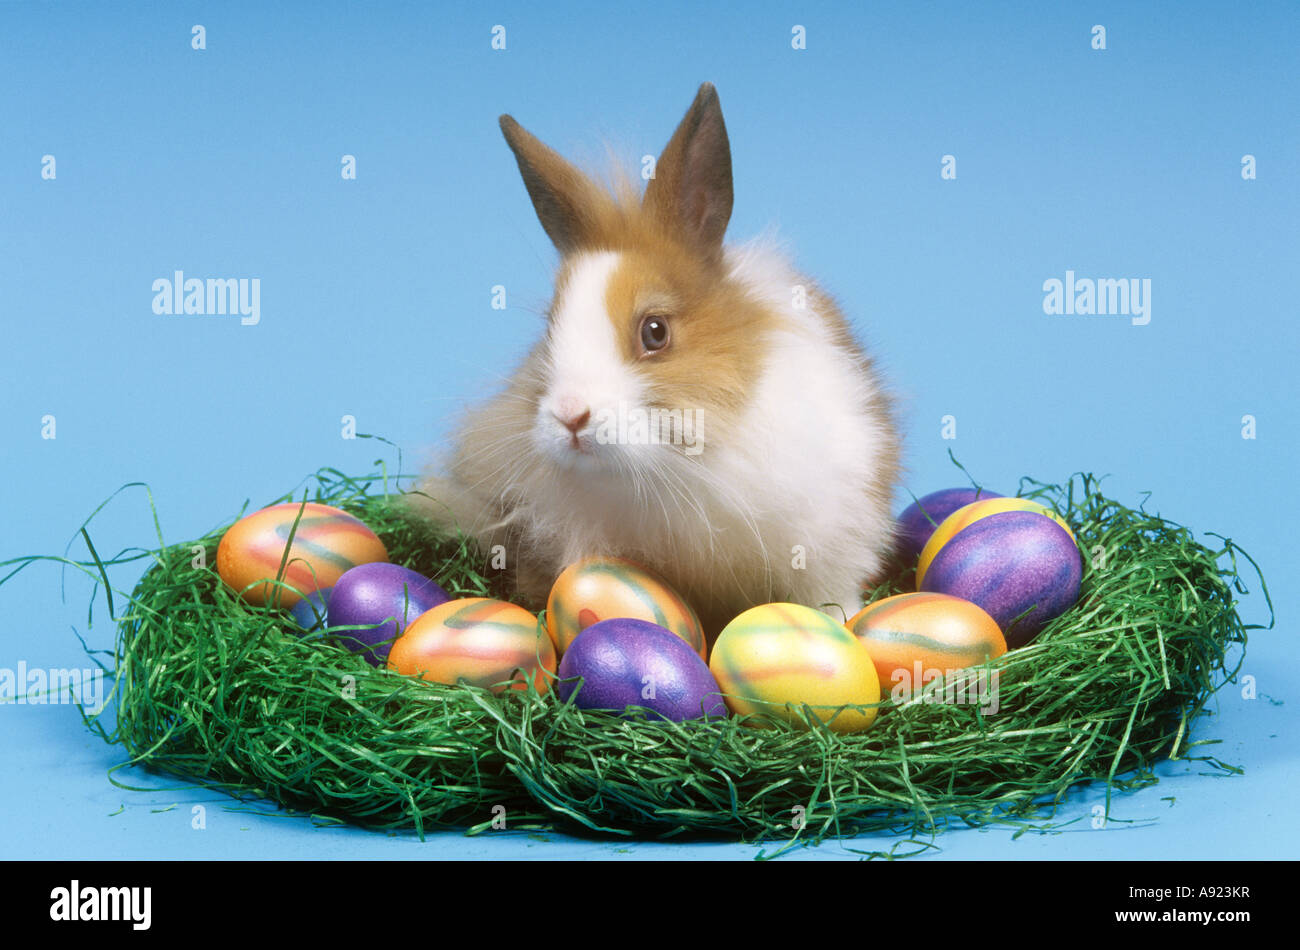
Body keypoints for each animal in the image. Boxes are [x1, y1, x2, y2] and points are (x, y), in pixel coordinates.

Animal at [407, 83, 901, 639]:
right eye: (549, 330)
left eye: (655, 332)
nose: (570, 416)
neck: (670, 467)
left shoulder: (831, 540)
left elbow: (828, 597)